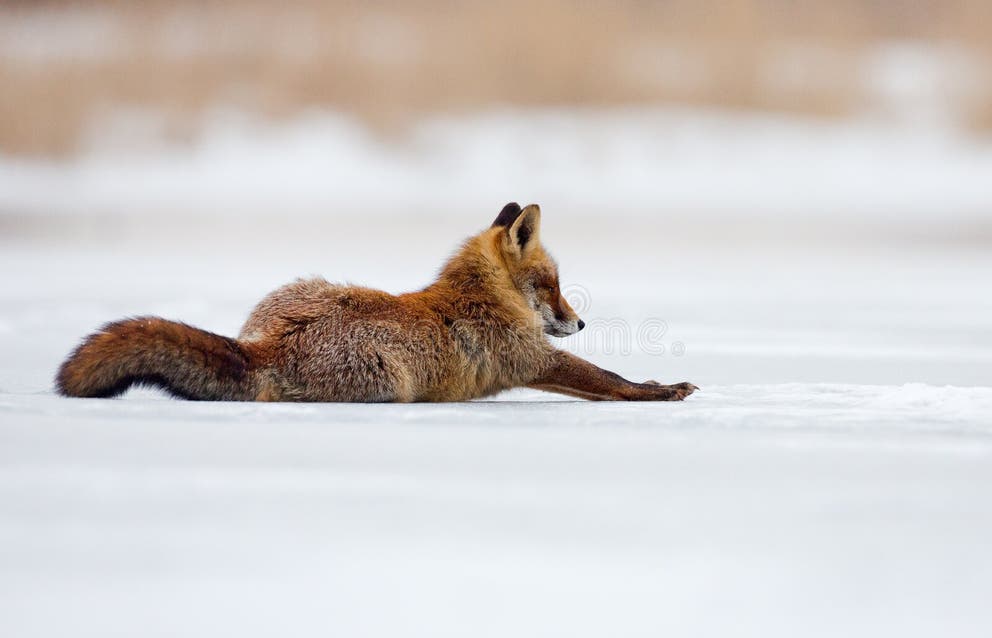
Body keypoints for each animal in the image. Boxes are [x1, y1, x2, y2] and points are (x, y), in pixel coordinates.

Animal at [56, 203, 697, 403]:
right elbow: (611, 379)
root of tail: (265, 347)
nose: (580, 321)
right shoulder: (531, 359)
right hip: (392, 382)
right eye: (552, 285)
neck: (479, 295)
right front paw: (663, 390)